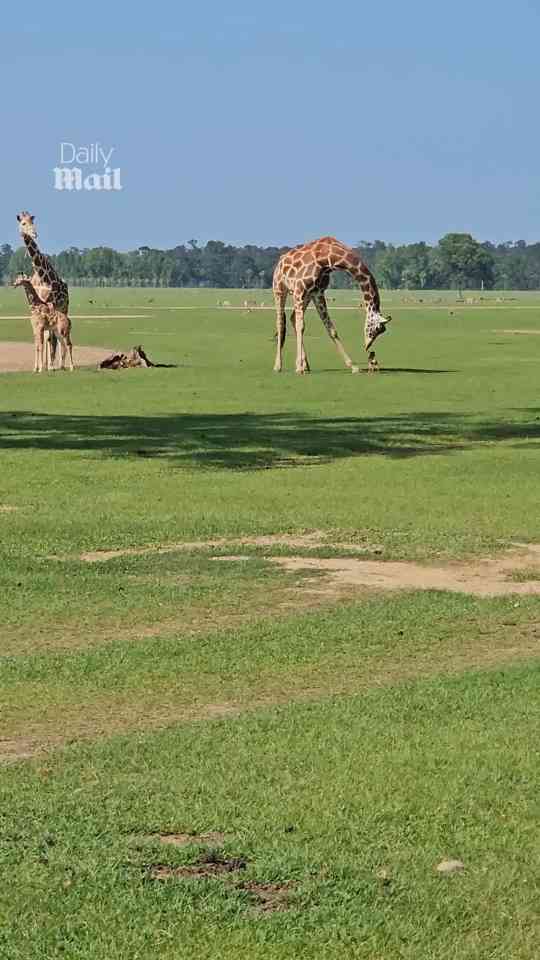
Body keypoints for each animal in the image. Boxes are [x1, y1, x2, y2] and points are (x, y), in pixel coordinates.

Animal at [16, 211, 74, 370]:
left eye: (32, 221)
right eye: (23, 223)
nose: (34, 234)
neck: (42, 276)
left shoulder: (50, 304)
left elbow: (48, 337)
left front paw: (49, 365)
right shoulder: (38, 307)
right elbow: (42, 337)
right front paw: (42, 366)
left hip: (64, 307)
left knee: (59, 337)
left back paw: (60, 364)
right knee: (55, 335)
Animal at [272, 237, 391, 374]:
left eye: (381, 330)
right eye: (377, 329)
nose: (367, 346)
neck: (329, 259)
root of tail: (280, 261)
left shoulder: (318, 292)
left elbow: (331, 330)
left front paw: (353, 366)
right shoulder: (299, 290)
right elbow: (301, 326)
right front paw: (298, 368)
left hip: (307, 296)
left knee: (292, 318)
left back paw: (306, 365)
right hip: (279, 289)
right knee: (280, 323)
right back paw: (278, 366)